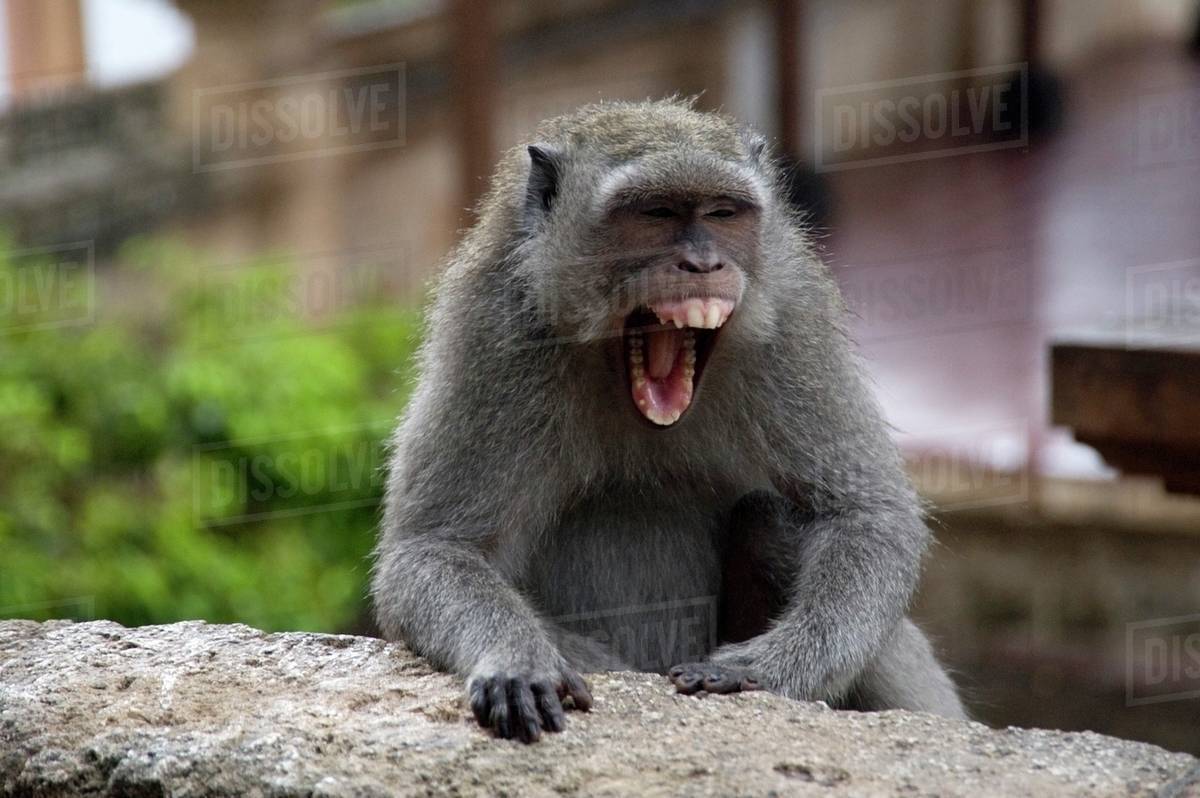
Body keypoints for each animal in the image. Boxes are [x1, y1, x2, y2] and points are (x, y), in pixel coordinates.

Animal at [371, 98, 965, 743]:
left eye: (722, 213)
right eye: (655, 213)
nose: (703, 263)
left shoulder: (794, 312)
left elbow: (866, 515)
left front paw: (761, 668)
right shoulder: (491, 324)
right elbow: (434, 550)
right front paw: (517, 658)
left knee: (773, 516)